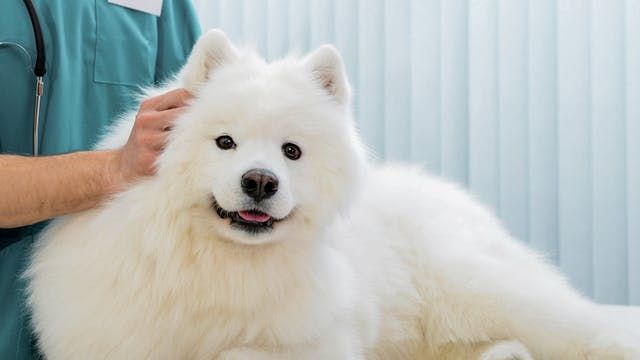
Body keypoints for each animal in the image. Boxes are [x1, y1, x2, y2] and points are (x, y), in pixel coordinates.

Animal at [27, 29, 640, 358]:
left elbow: (243, 350)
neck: (221, 262)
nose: (259, 181)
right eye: (225, 142)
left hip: (477, 285)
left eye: (291, 152)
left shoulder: (317, 341)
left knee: (583, 328)